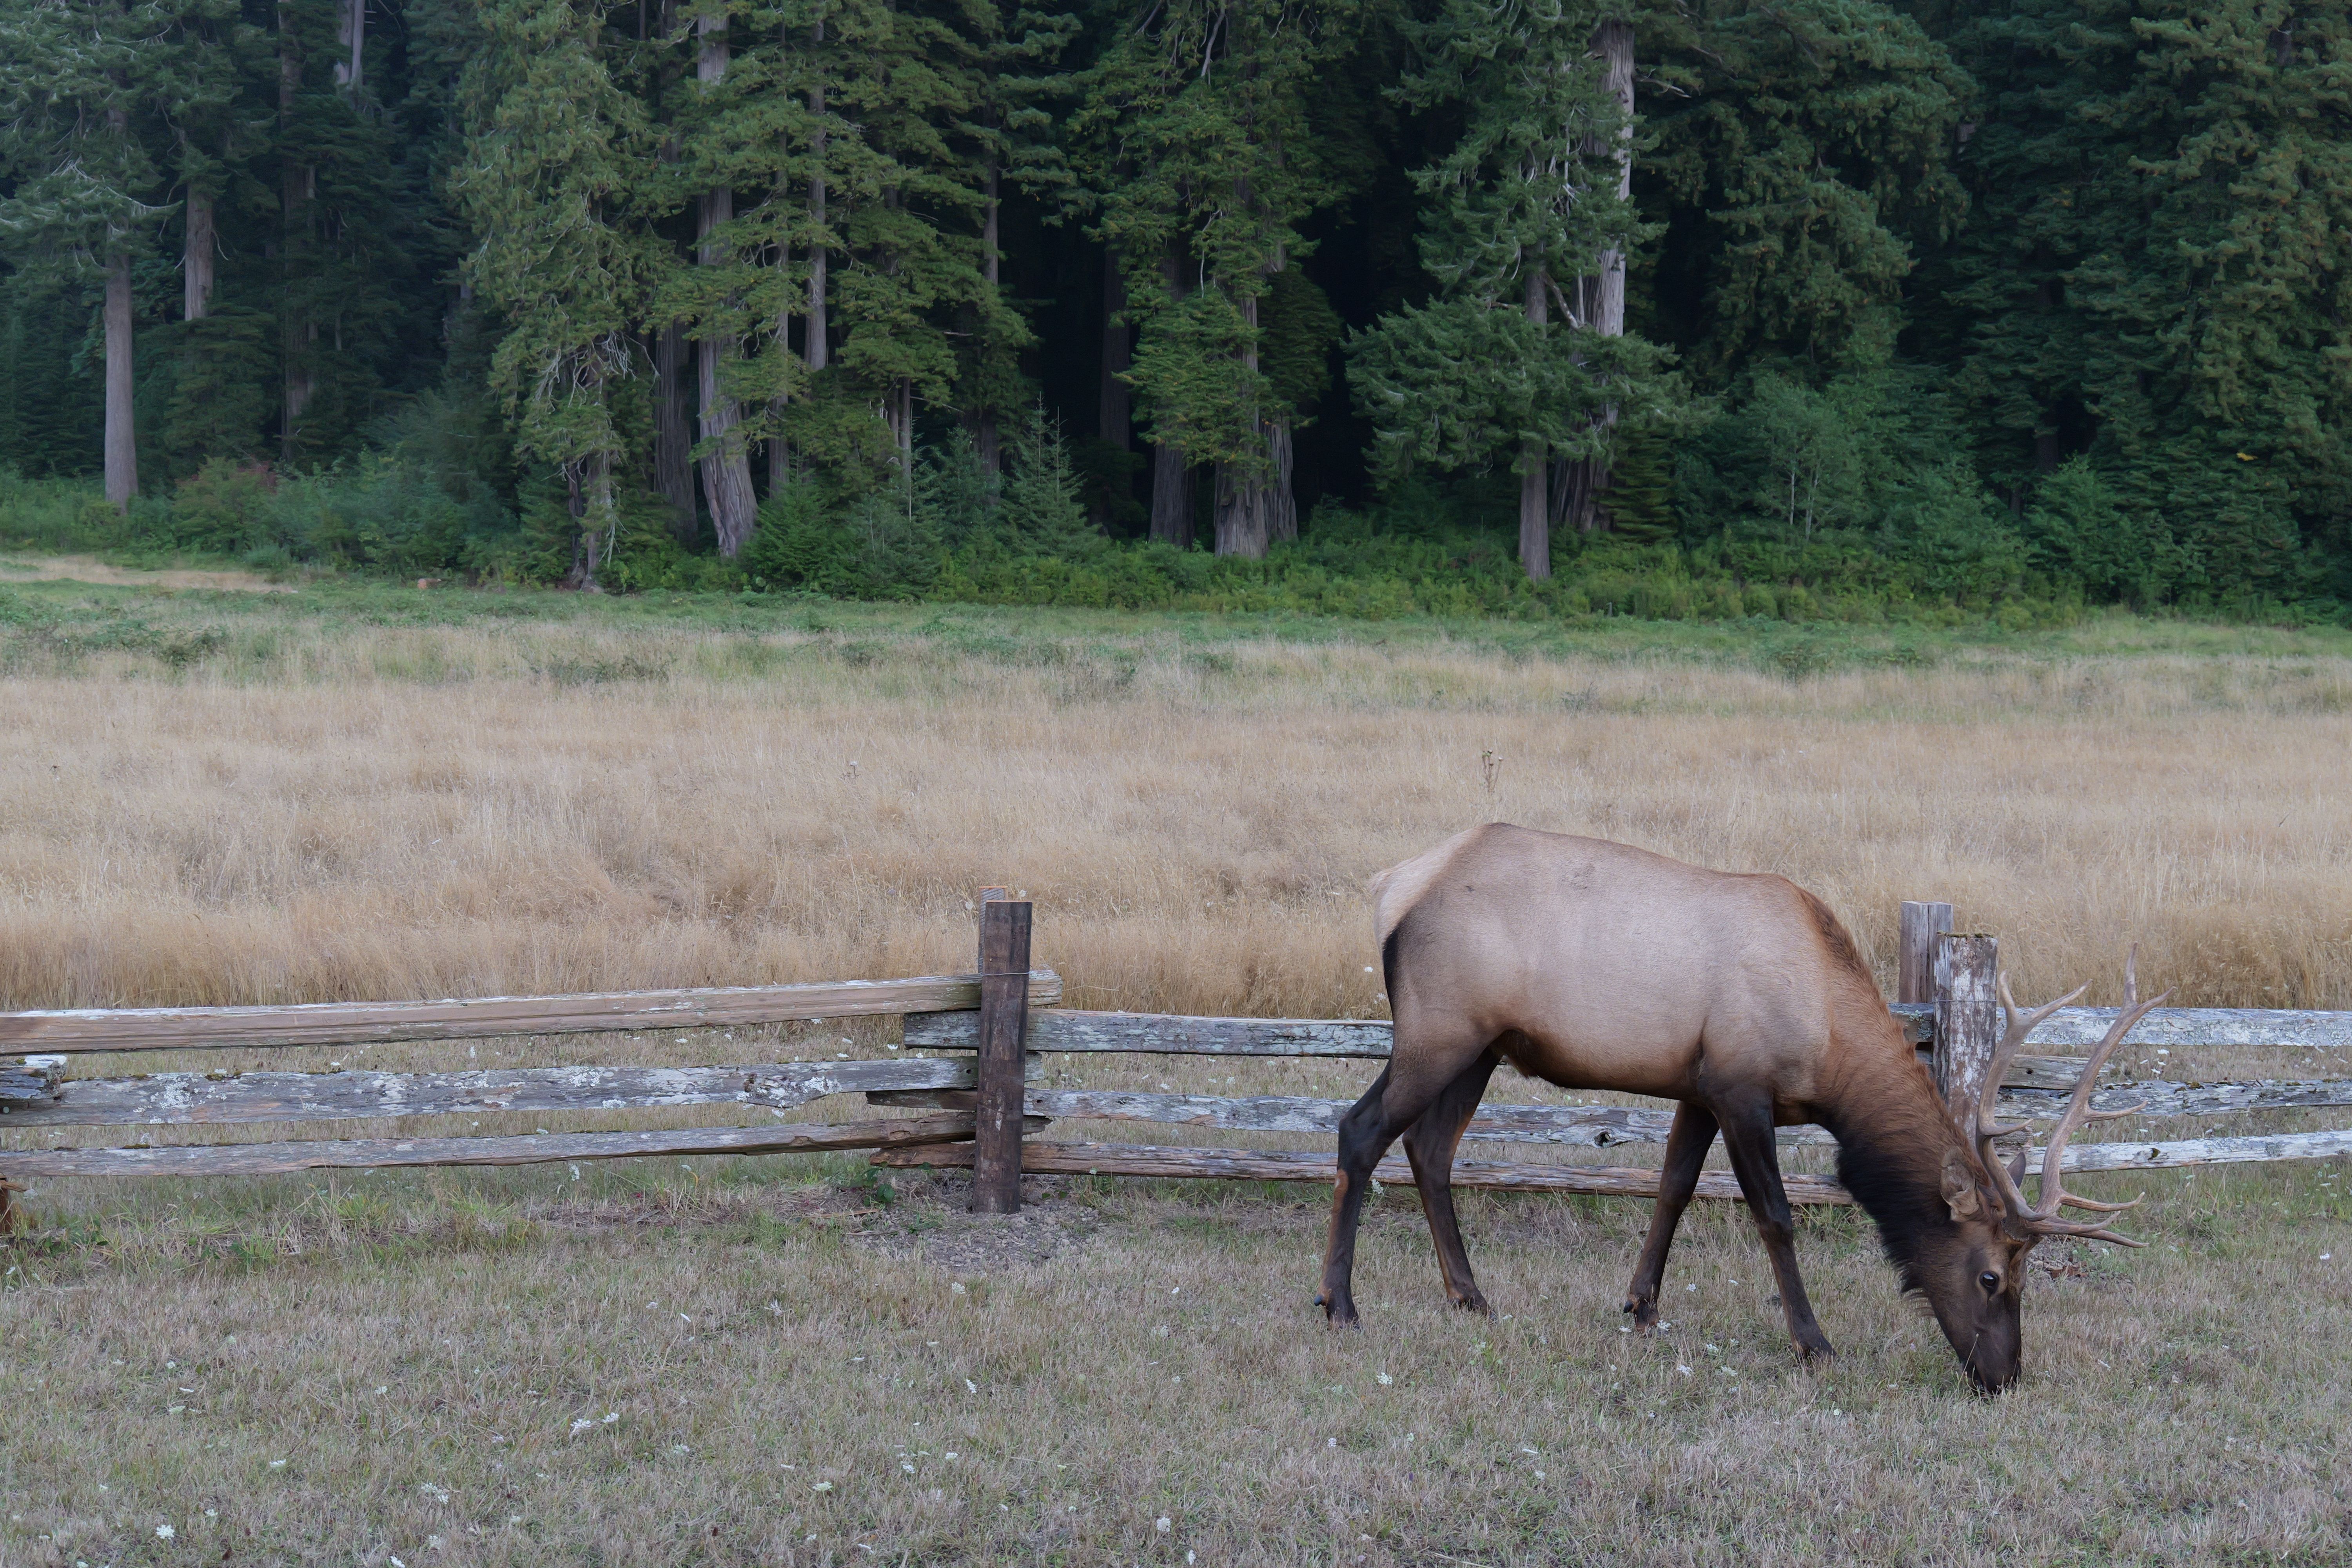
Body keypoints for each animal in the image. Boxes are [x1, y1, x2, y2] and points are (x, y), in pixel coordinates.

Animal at [1315, 824, 2164, 1393]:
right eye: (1991, 1276)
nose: (2005, 1374)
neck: (1830, 1046)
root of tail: (1391, 888)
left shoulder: (1697, 1090)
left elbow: (1672, 1189)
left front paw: (1642, 1307)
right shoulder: (1740, 1088)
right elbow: (1776, 1217)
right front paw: (1814, 1343)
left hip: (1483, 1046)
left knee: (1430, 1149)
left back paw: (1470, 1296)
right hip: (1439, 1029)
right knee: (1360, 1131)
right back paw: (1340, 1304)